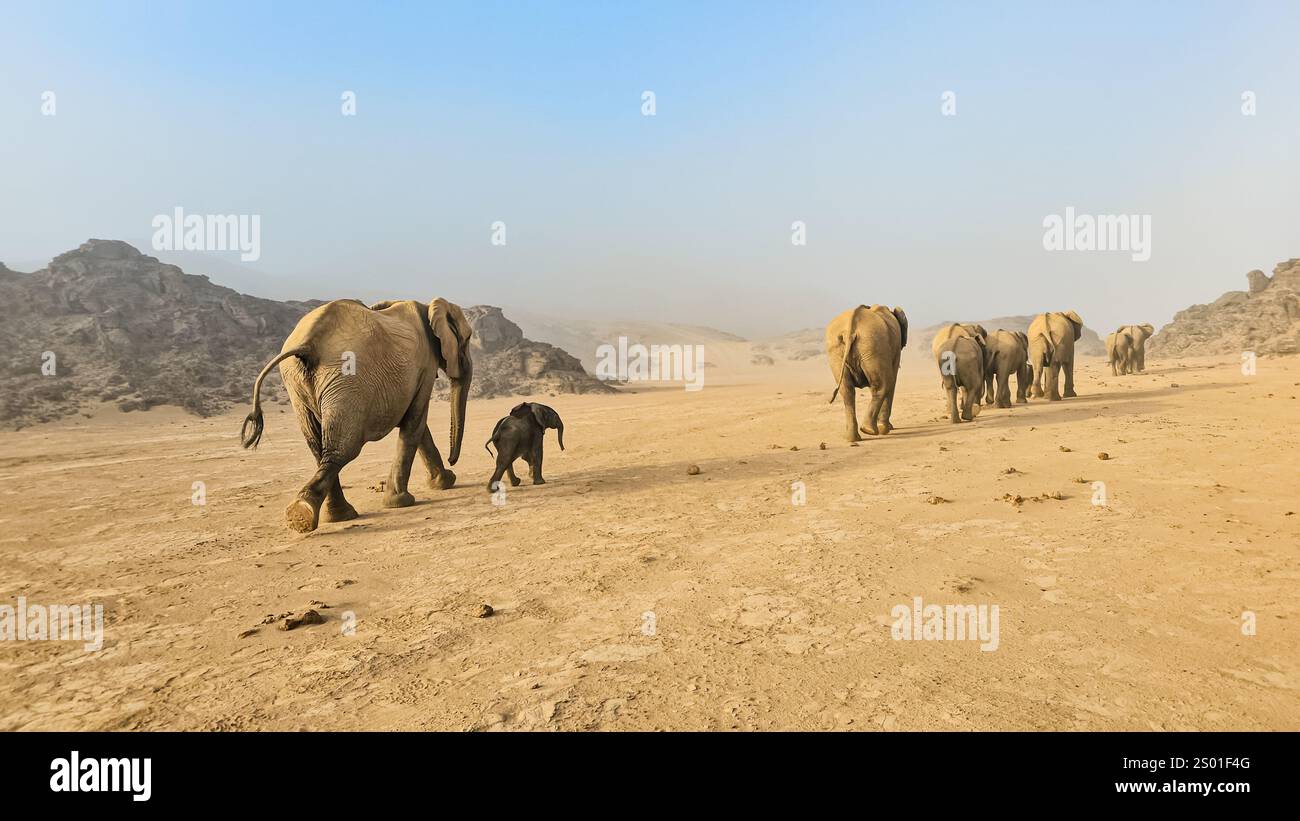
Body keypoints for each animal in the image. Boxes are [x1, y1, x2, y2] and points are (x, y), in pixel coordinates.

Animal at [240, 297, 473, 533]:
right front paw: (403, 501)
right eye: (467, 339)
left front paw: (443, 483)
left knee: (319, 448)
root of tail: (307, 344)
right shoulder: (425, 366)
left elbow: (417, 426)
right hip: (346, 380)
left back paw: (330, 516)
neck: (429, 307)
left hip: (299, 384)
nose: (452, 460)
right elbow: (414, 423)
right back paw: (307, 513)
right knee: (343, 449)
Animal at [826, 304, 908, 442]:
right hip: (873, 346)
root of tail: (850, 329)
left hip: (841, 351)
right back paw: (871, 430)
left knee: (847, 391)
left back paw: (854, 437)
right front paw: (887, 428)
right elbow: (892, 380)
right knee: (883, 385)